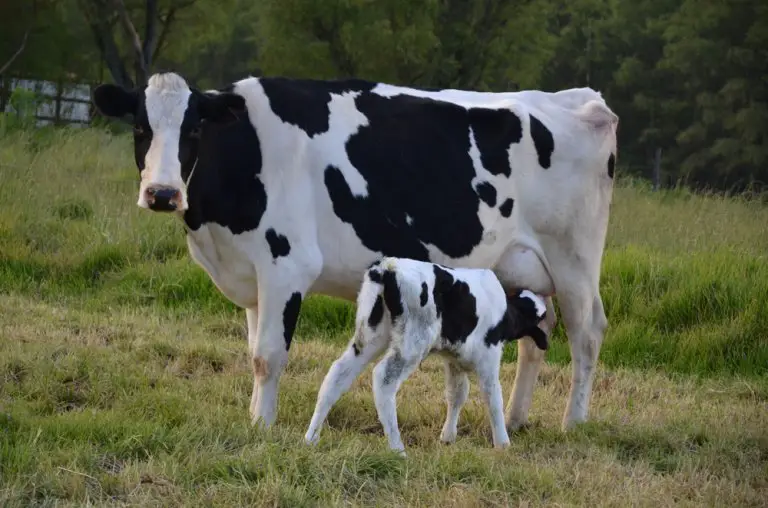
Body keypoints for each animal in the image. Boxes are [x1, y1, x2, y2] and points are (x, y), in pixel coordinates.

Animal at [304, 257, 549, 454]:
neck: (505, 311)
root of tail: (386, 267)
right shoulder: (489, 356)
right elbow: (493, 397)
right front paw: (502, 444)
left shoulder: (454, 359)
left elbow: (457, 394)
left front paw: (448, 437)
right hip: (413, 341)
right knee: (383, 378)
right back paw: (397, 449)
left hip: (370, 336)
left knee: (338, 373)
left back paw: (311, 438)